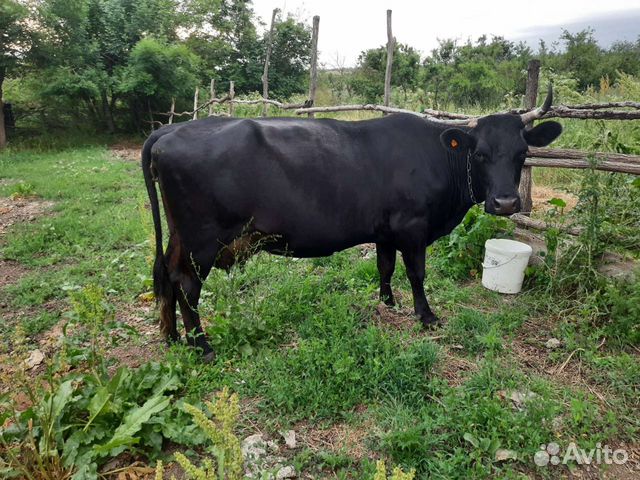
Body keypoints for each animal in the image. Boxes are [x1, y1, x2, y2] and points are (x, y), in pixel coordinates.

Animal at [142, 87, 562, 362]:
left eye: (522, 153)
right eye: (480, 153)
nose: (505, 202)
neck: (438, 157)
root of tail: (171, 130)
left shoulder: (386, 230)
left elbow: (385, 266)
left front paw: (387, 301)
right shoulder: (413, 228)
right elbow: (417, 273)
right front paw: (425, 315)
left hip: (181, 237)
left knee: (166, 274)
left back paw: (173, 336)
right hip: (202, 240)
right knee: (187, 285)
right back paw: (202, 345)